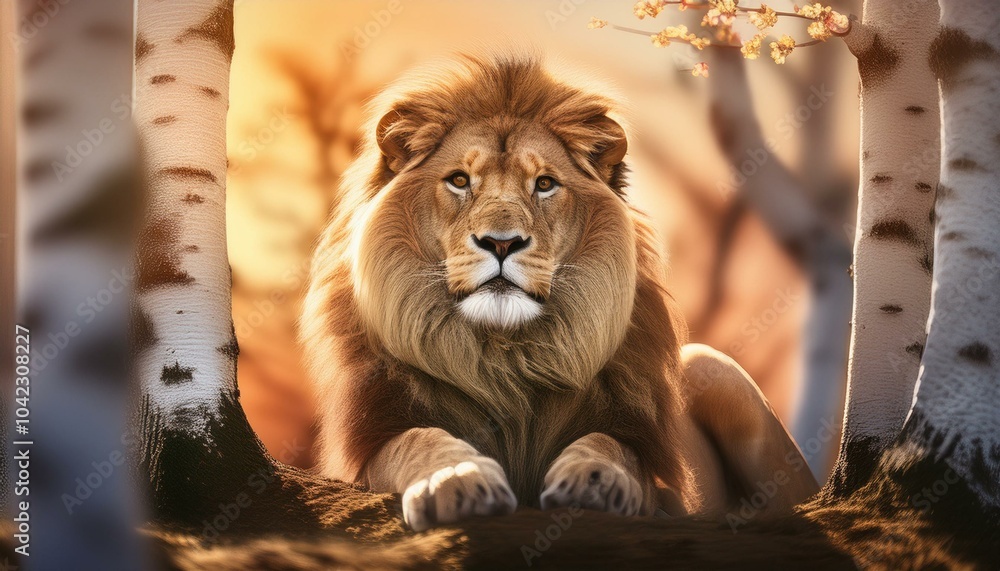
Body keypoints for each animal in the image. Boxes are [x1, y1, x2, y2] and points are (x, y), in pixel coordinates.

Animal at [300, 54, 818, 531]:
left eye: (545, 184)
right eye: (460, 180)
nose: (501, 242)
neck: (504, 355)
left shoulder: (662, 479)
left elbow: (615, 446)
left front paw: (595, 478)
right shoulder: (367, 449)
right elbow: (418, 437)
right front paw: (456, 478)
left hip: (713, 365)